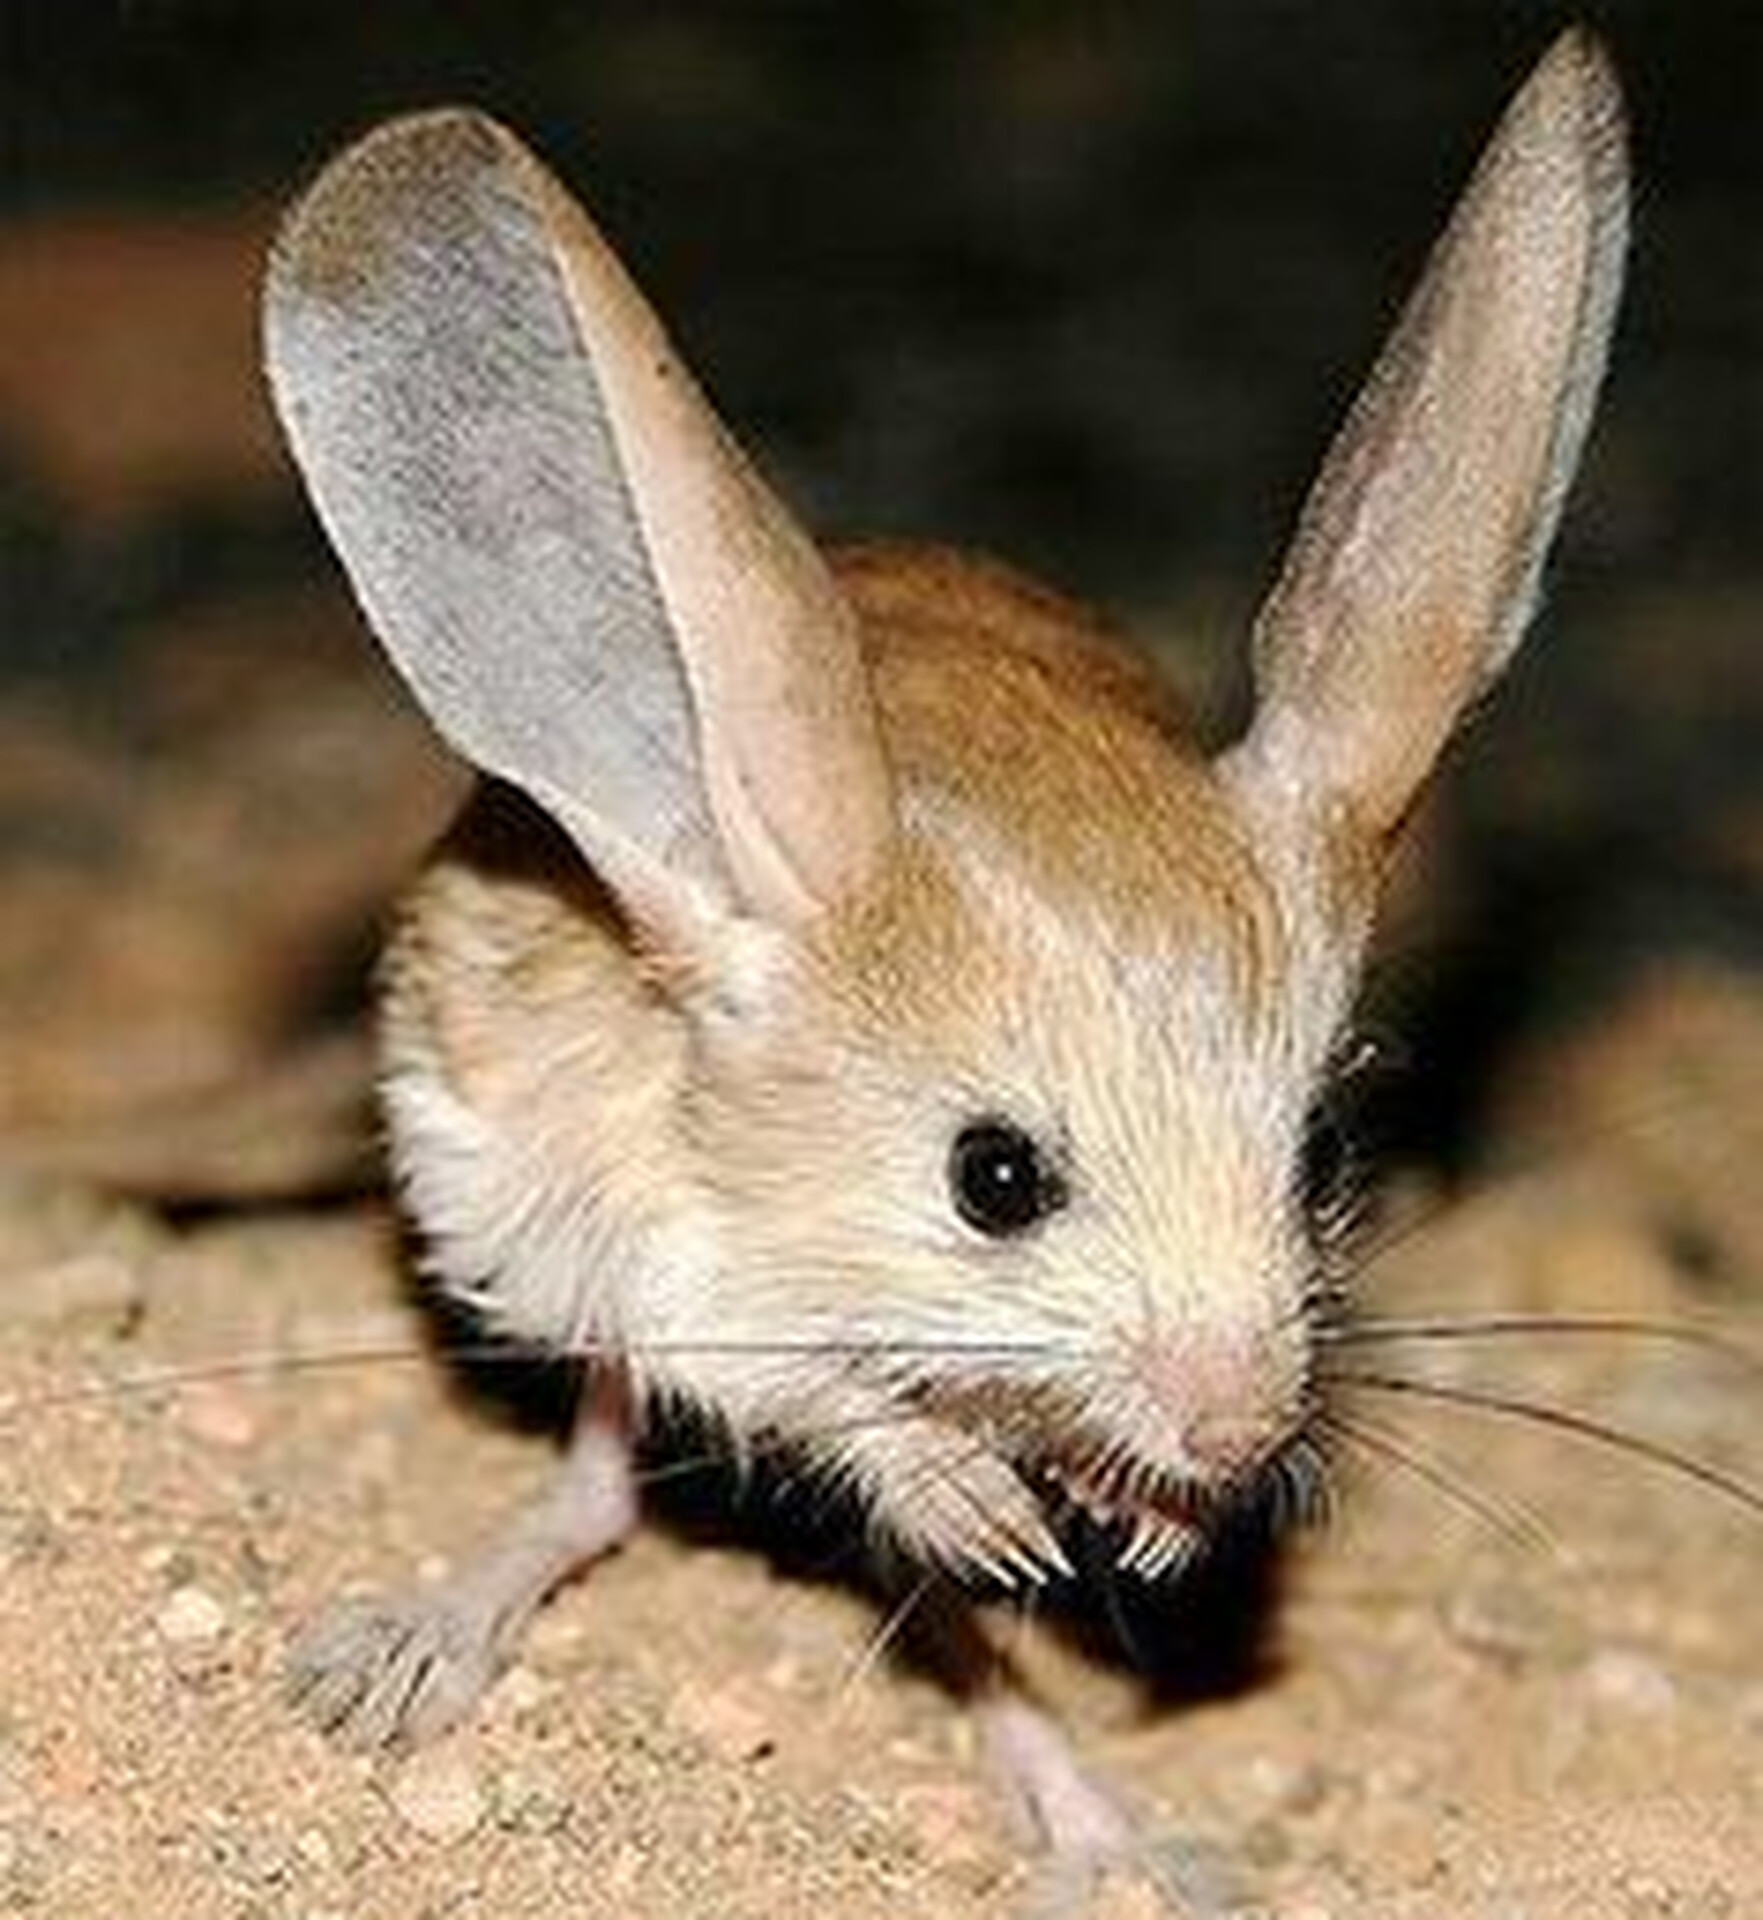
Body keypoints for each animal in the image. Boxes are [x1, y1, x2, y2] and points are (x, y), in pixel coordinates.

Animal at [262, 26, 1627, 1904]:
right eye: (992, 1180)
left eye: (1322, 1159)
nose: (1235, 1439)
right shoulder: (683, 1260)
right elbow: (819, 1406)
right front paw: (964, 1487)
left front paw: (1151, 1525)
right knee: (605, 1484)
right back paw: (423, 1640)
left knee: (954, 1628)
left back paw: (1115, 1835)